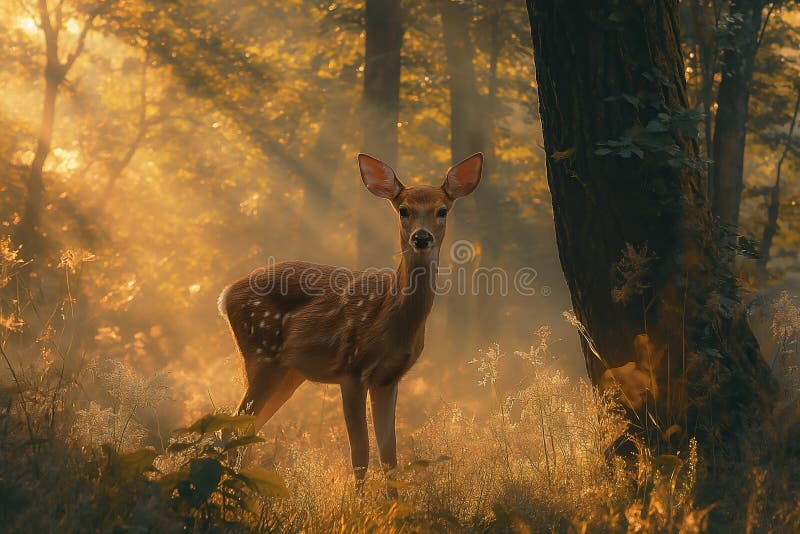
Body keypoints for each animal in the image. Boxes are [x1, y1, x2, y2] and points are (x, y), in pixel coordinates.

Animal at [217, 153, 482, 488]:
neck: (391, 320)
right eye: (404, 209)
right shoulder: (351, 370)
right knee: (231, 428)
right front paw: (356, 502)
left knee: (249, 430)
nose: (422, 237)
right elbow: (360, 454)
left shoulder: (389, 378)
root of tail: (226, 294)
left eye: (442, 210)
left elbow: (389, 457)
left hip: (289, 373)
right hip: (260, 356)